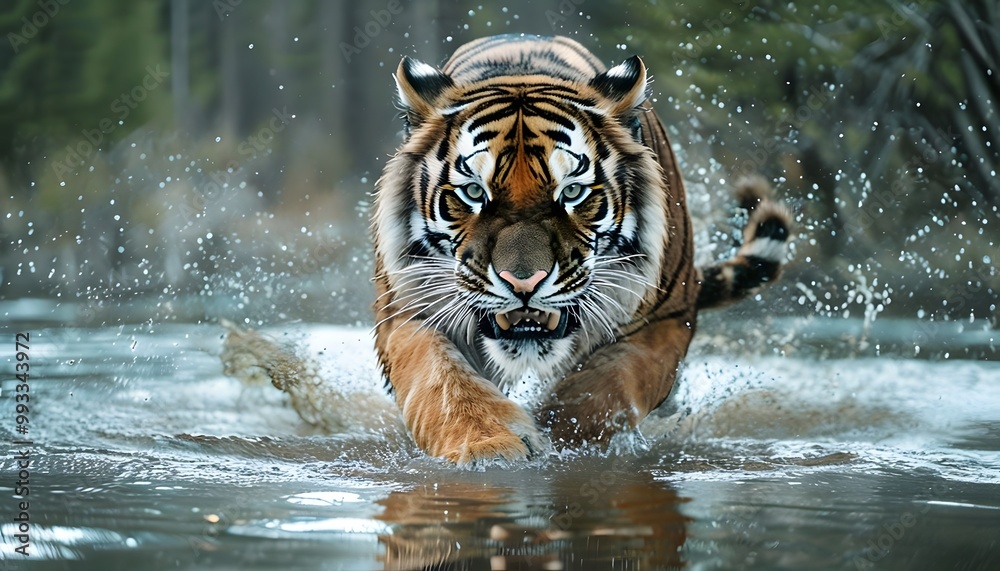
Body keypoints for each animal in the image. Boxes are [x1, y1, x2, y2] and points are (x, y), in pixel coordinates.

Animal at [372, 34, 790, 466]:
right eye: (474, 192)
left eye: (572, 192)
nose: (524, 284)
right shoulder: (407, 311)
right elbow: (442, 379)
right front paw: (490, 445)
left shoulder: (664, 317)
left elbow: (609, 384)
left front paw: (564, 438)